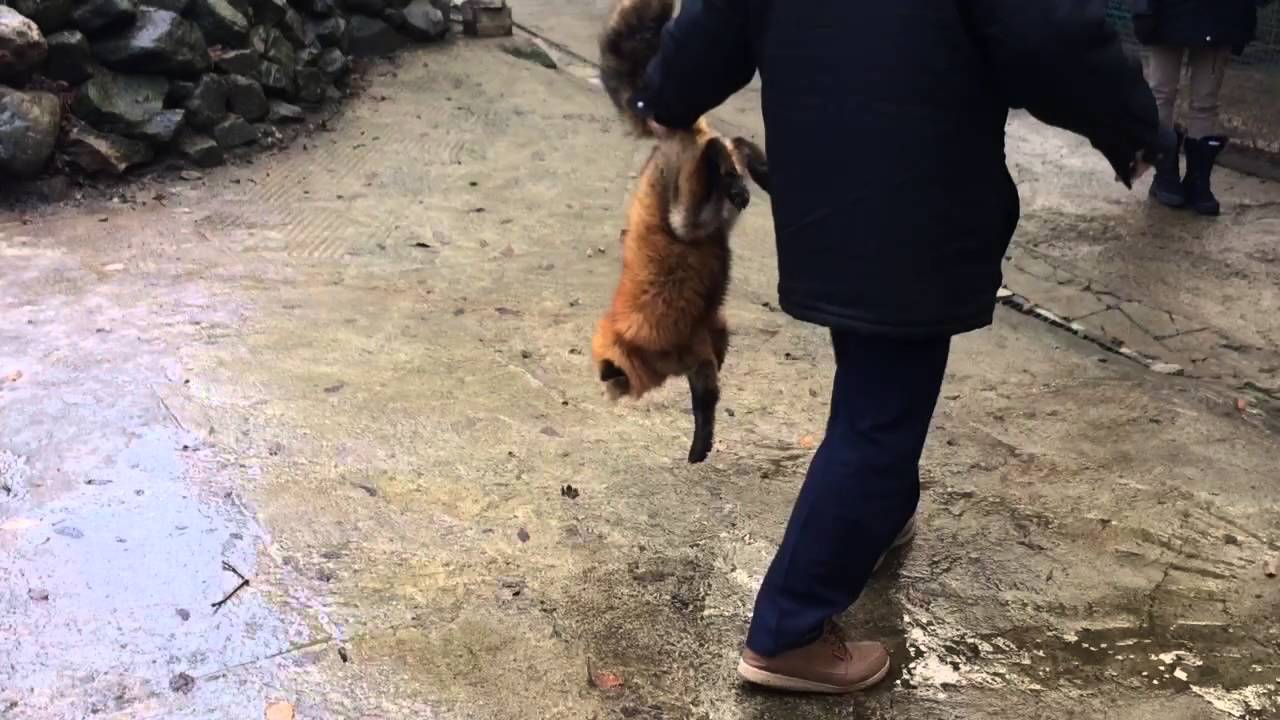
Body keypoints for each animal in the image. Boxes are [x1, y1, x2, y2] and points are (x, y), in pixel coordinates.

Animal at [591, 0, 770, 463]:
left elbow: (704, 401)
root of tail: (663, 135)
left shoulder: (691, 350)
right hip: (713, 216)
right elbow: (708, 393)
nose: (610, 394)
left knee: (717, 157)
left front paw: (699, 443)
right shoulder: (706, 340)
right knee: (734, 146)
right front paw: (702, 441)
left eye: (614, 380)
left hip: (688, 218)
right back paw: (755, 168)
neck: (634, 340)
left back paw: (729, 169)